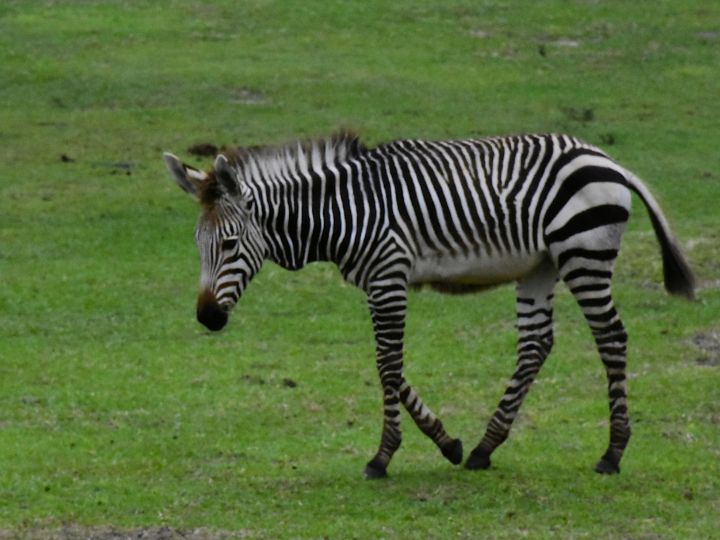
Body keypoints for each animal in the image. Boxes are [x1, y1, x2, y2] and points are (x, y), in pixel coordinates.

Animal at [163, 131, 694, 478]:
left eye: (229, 244)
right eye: (197, 244)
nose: (207, 317)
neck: (339, 213)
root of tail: (607, 159)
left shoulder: (388, 276)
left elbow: (387, 363)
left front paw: (382, 457)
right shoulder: (379, 283)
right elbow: (391, 366)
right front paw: (449, 443)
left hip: (583, 254)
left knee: (611, 337)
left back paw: (613, 452)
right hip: (540, 264)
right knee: (536, 344)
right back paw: (483, 448)